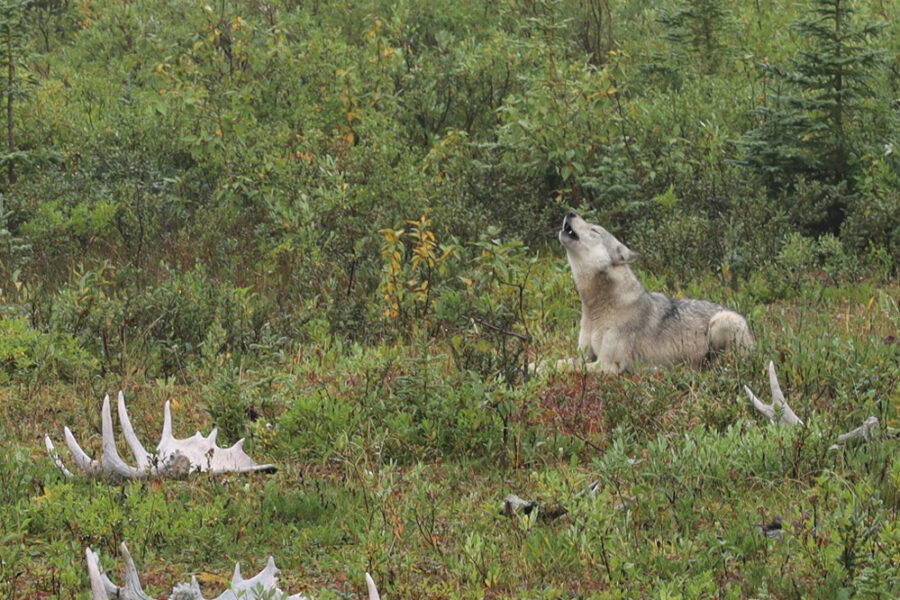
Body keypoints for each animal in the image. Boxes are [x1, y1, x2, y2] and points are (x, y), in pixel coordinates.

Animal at [549, 210, 753, 374]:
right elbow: (555, 362)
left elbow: (564, 367)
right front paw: (541, 367)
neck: (595, 308)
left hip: (722, 321)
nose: (570, 212)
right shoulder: (585, 356)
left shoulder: (608, 365)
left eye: (594, 231)